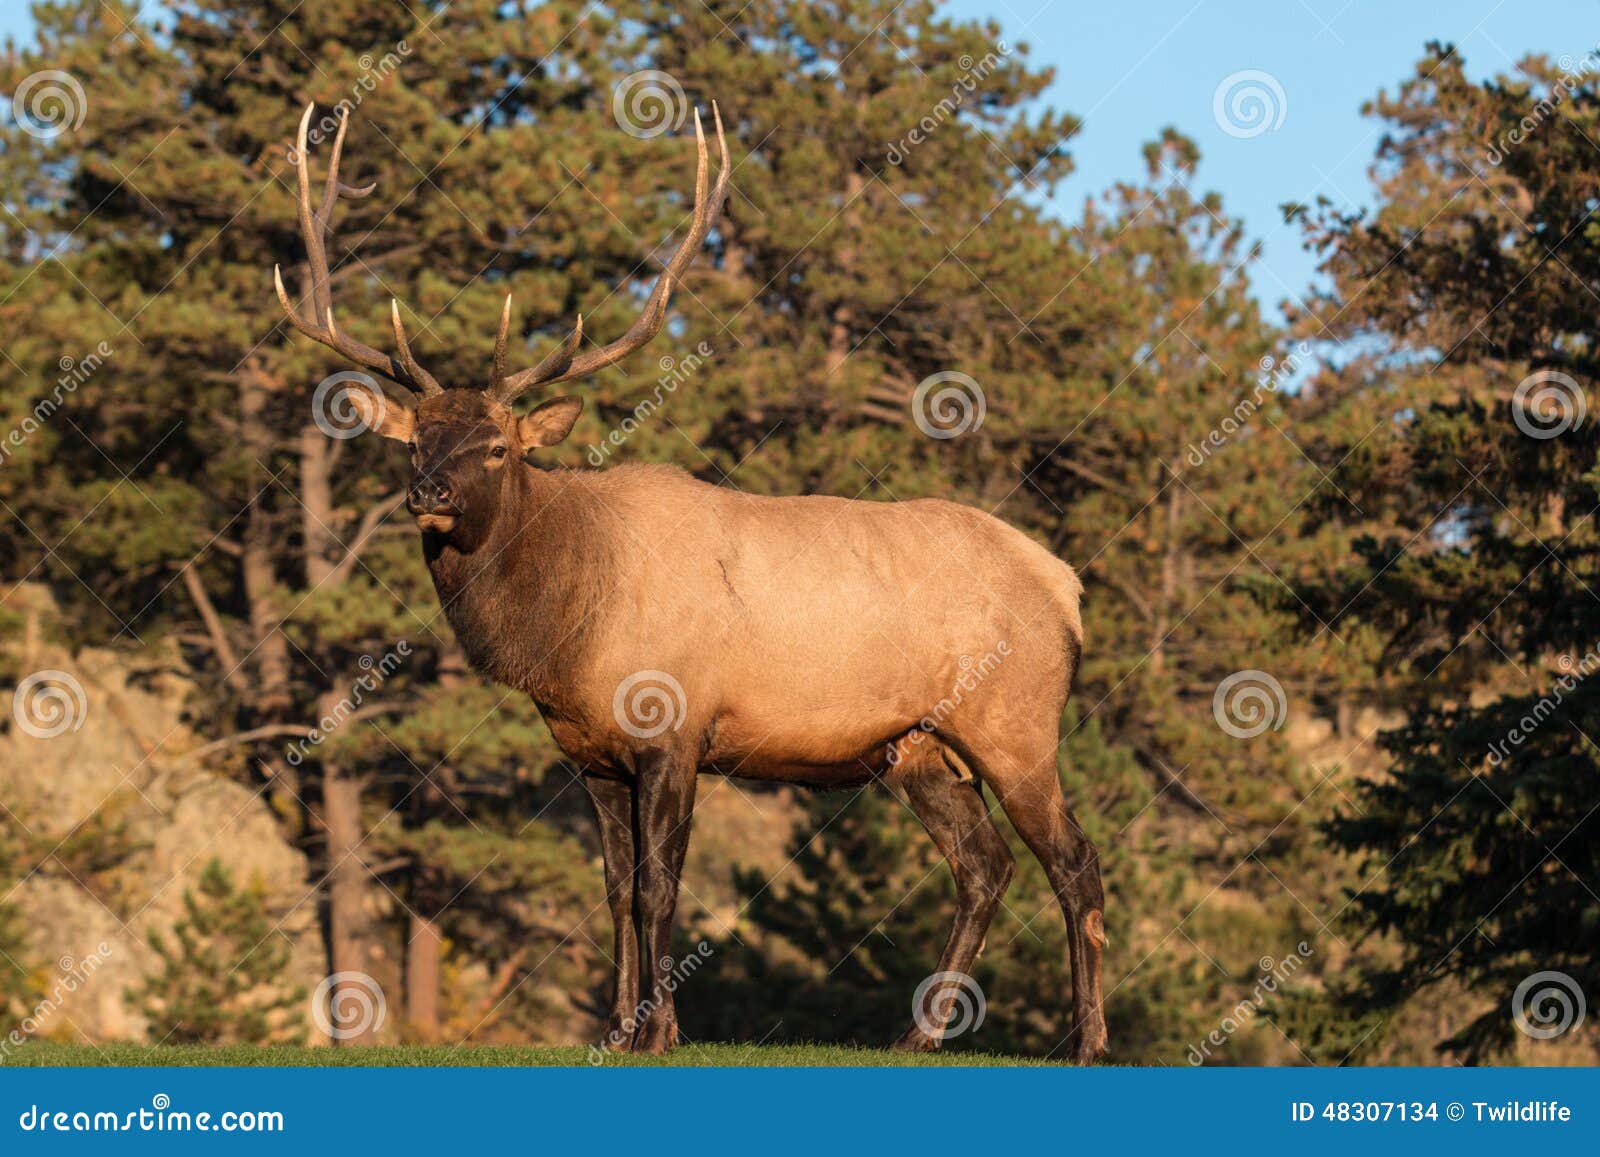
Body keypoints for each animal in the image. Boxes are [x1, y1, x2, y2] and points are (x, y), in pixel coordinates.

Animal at [272, 102, 1107, 1063]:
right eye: (414, 441)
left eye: (496, 447)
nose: (429, 494)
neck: (566, 629)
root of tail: (1068, 585)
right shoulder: (588, 752)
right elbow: (614, 888)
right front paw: (615, 1025)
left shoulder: (673, 724)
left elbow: (659, 886)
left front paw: (660, 1029)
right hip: (921, 746)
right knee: (984, 865)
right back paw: (917, 1035)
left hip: (1017, 723)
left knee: (1074, 861)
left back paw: (1087, 1040)